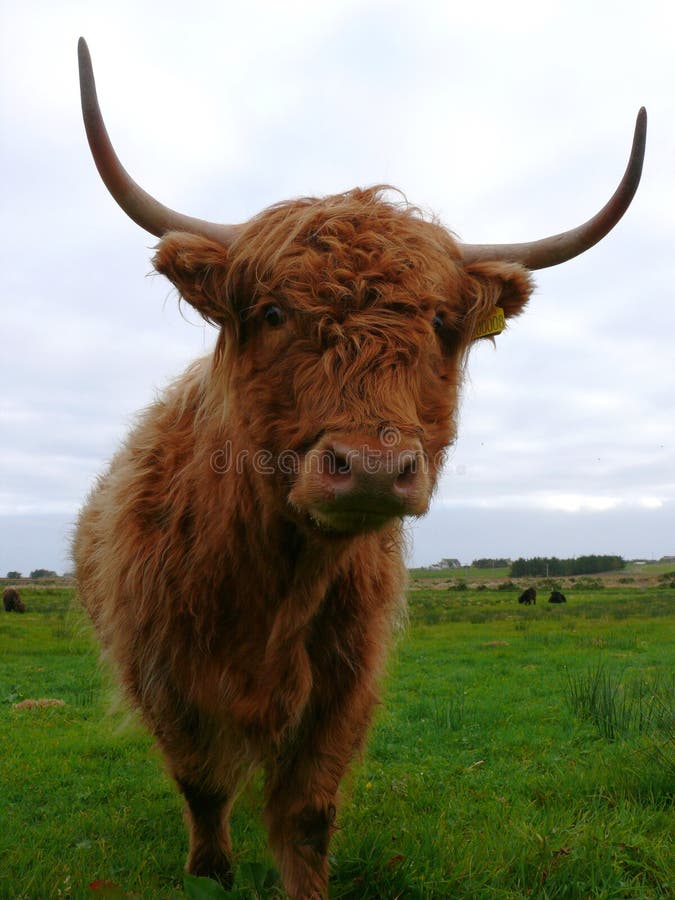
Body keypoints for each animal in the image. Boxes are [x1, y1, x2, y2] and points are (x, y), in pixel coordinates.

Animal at [72, 38, 645, 899]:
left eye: (441, 323)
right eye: (273, 313)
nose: (373, 468)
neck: (273, 580)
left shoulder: (343, 684)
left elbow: (307, 813)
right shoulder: (162, 672)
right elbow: (201, 782)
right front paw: (211, 869)